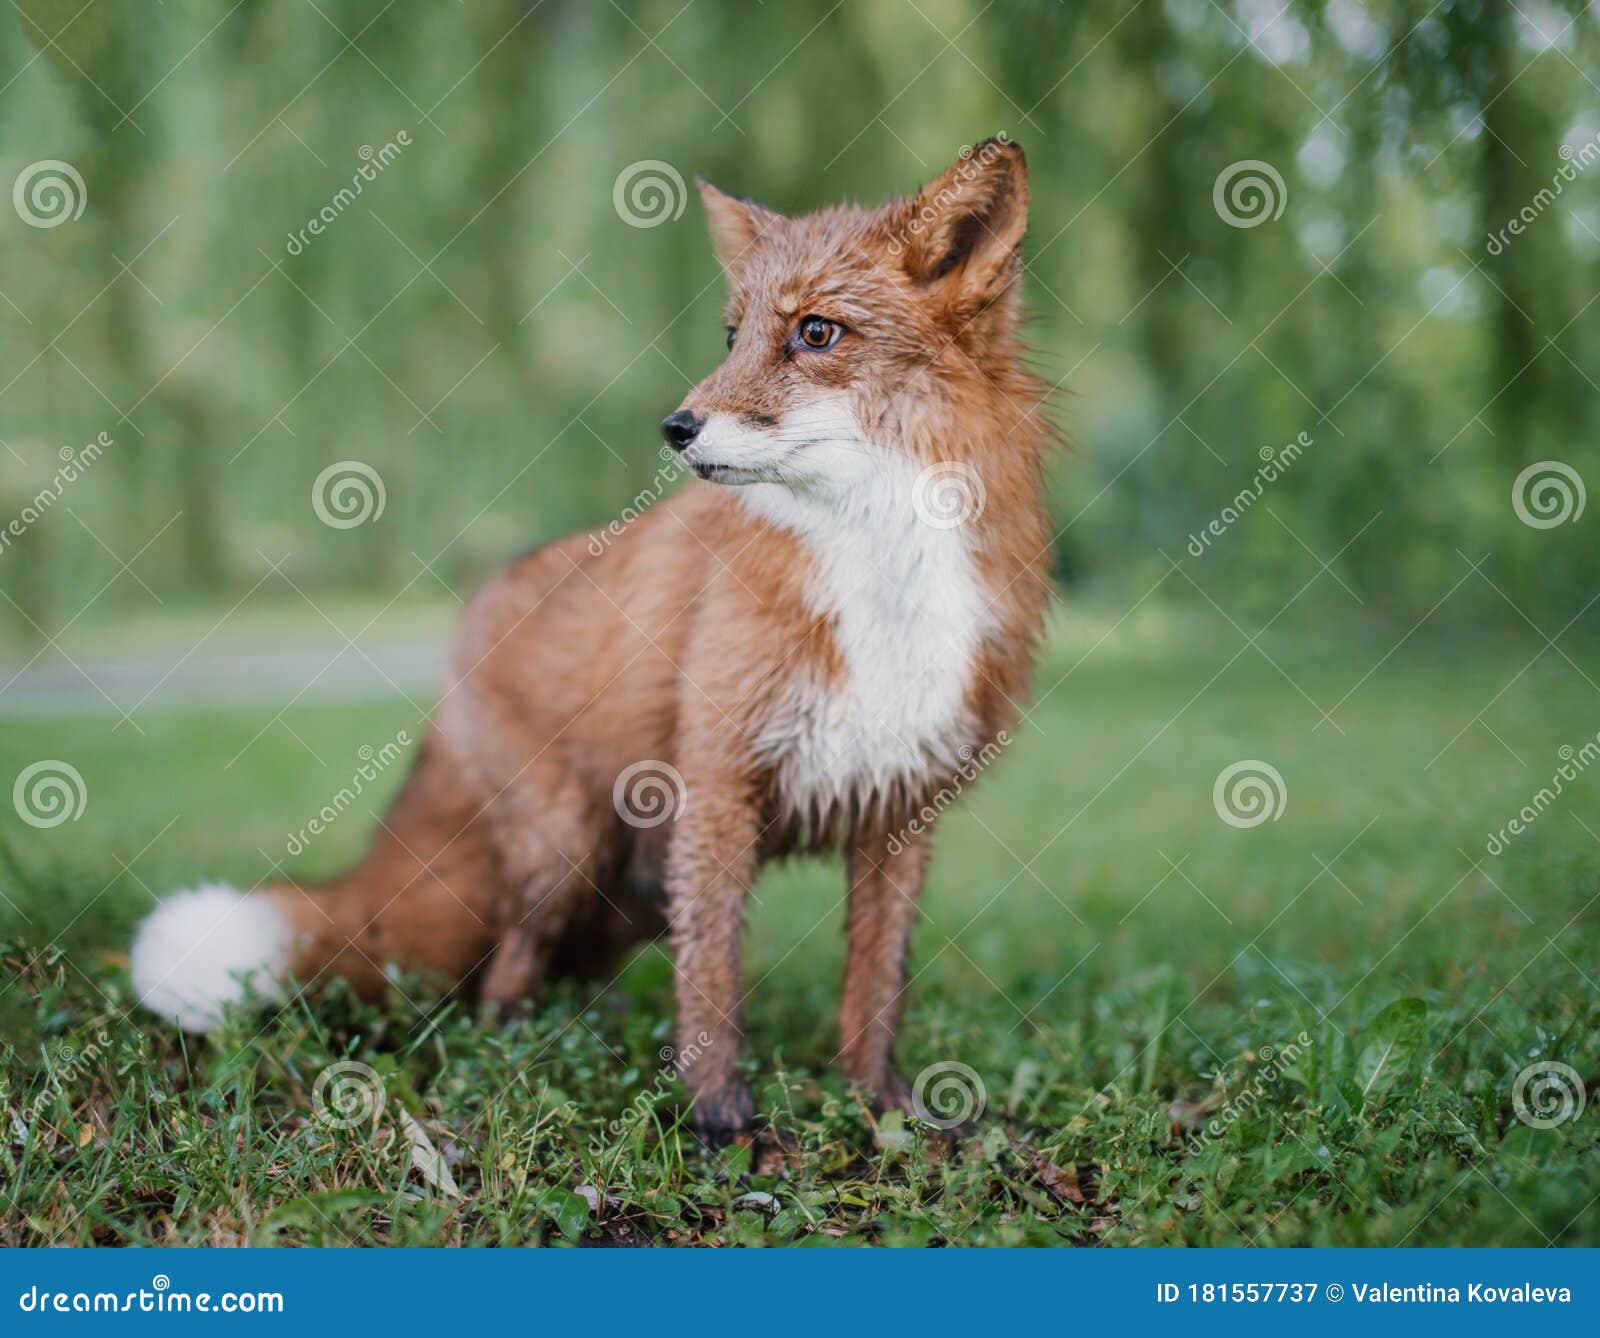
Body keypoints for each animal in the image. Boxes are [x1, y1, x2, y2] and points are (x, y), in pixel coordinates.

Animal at [131, 137, 1053, 1137]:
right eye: (731, 337)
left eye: (817, 333)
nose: (676, 427)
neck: (881, 570)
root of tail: (471, 621)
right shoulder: (719, 782)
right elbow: (714, 983)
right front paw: (721, 1123)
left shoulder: (901, 805)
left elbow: (875, 990)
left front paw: (884, 1113)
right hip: (572, 846)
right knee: (502, 971)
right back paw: (525, 1053)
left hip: (633, 885)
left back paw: (594, 1036)